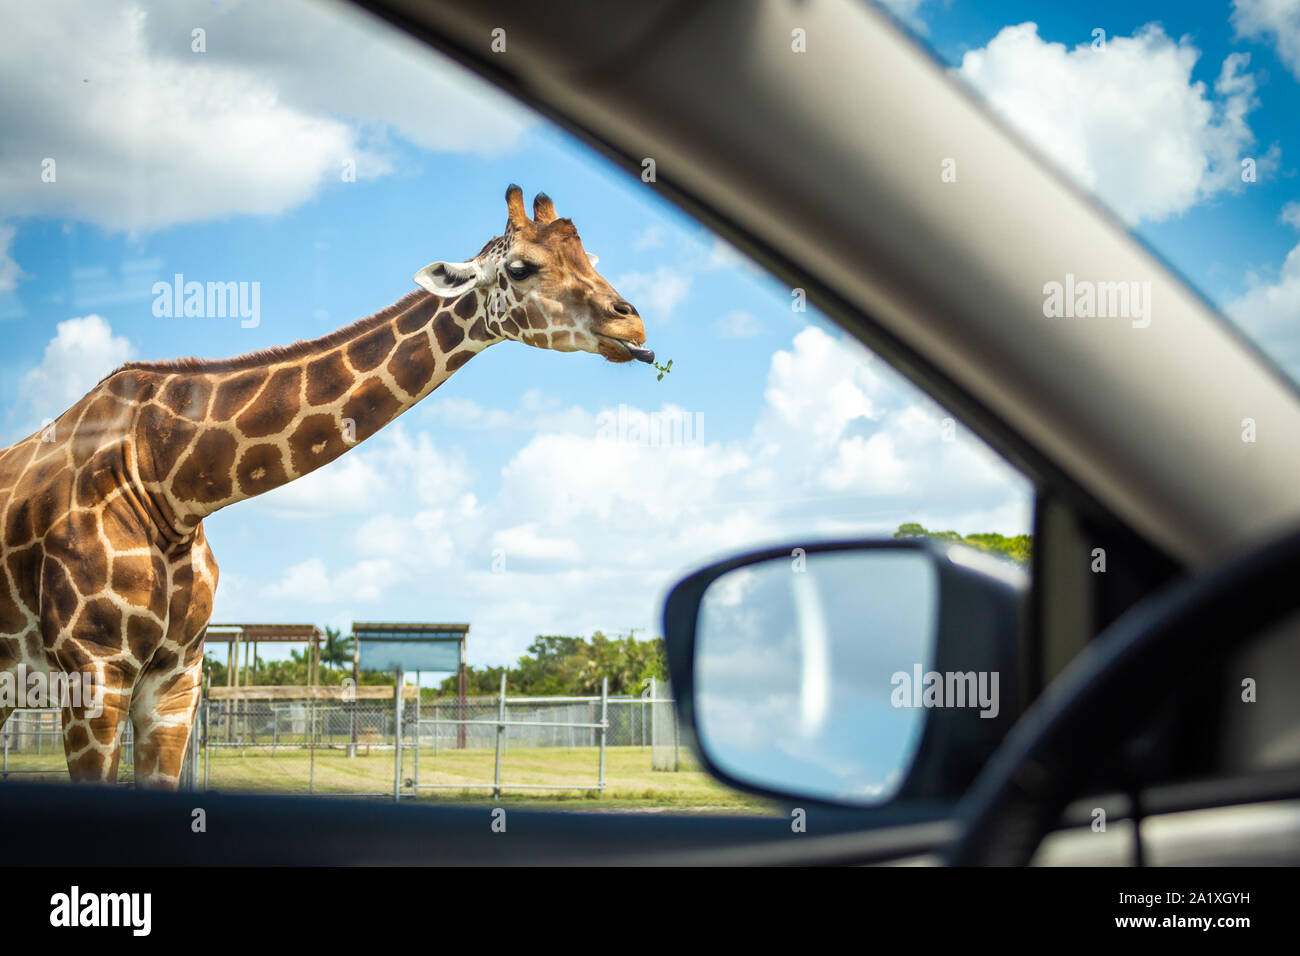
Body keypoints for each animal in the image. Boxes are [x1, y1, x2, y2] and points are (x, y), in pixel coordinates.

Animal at [0, 185, 651, 789]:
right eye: (521, 267)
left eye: (588, 255)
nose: (632, 321)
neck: (169, 484)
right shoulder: (94, 671)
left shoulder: (175, 679)